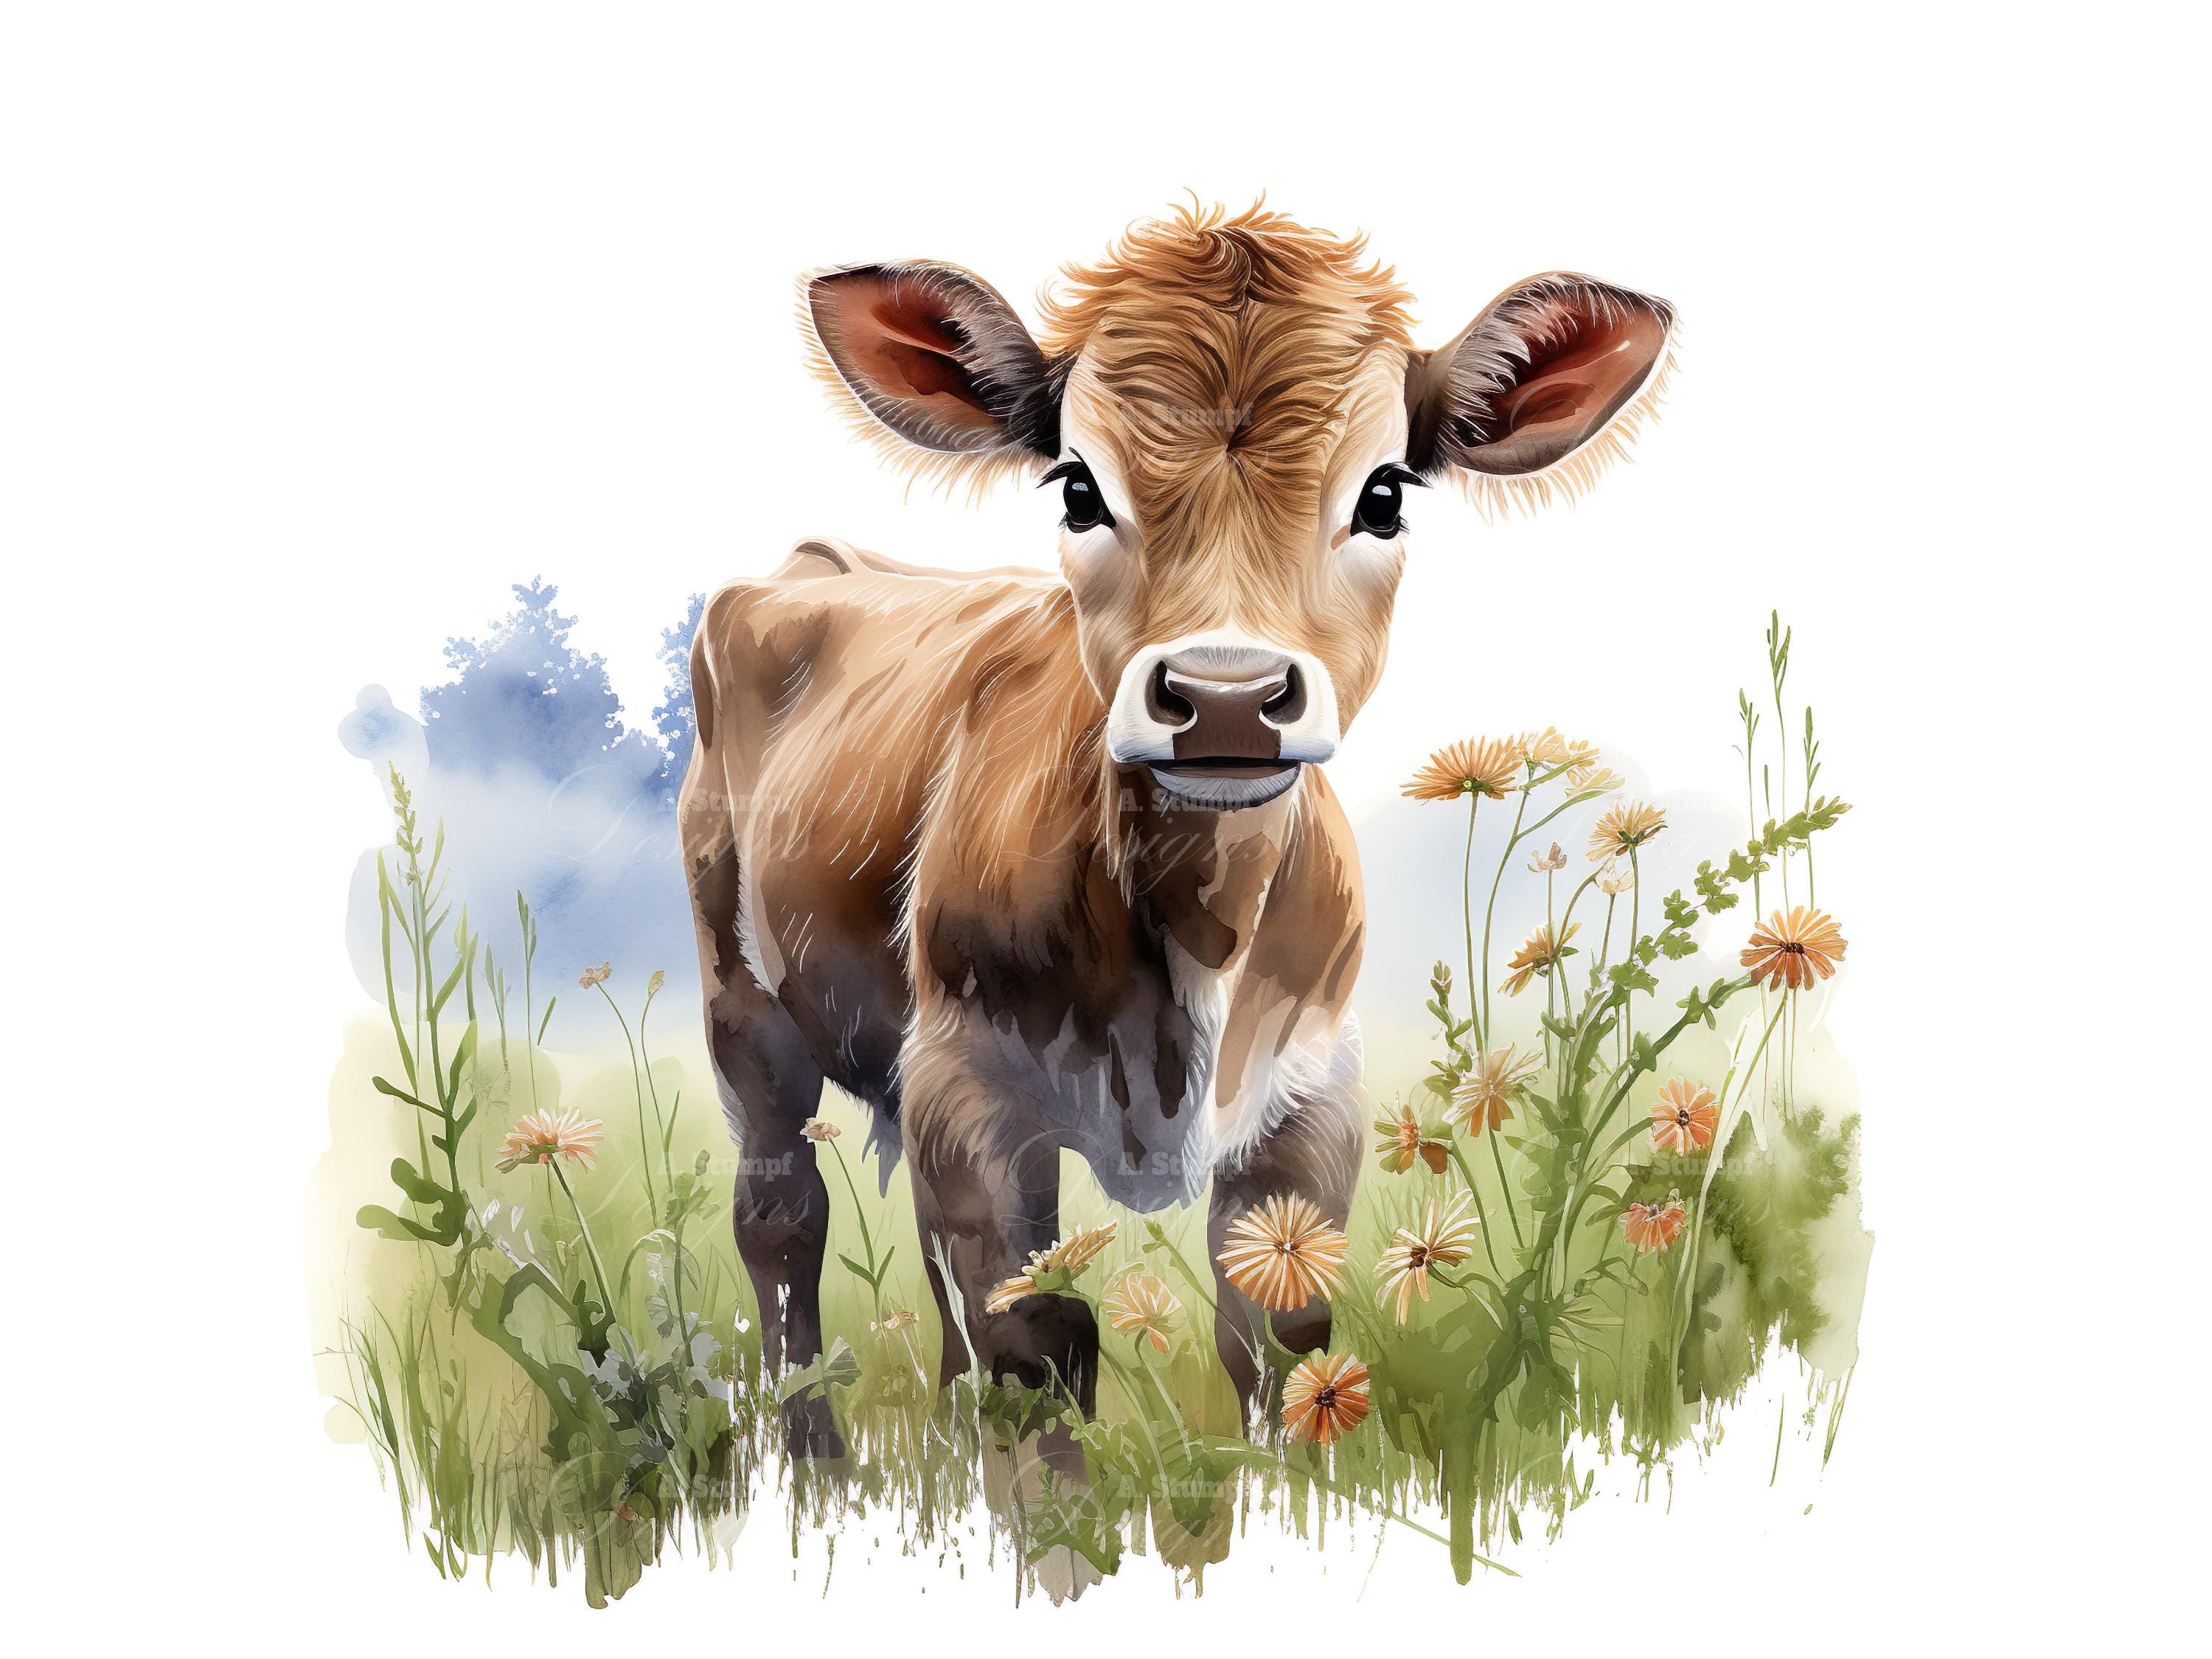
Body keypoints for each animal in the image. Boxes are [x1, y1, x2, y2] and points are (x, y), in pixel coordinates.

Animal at [680, 202, 1674, 1457]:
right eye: (1076, 488)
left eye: (1384, 494)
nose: (1228, 696)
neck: (1194, 924)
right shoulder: (974, 1085)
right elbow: (1039, 1341)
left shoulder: (1311, 1096)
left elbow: (1279, 1335)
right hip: (744, 1001)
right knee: (781, 1218)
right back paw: (812, 1462)